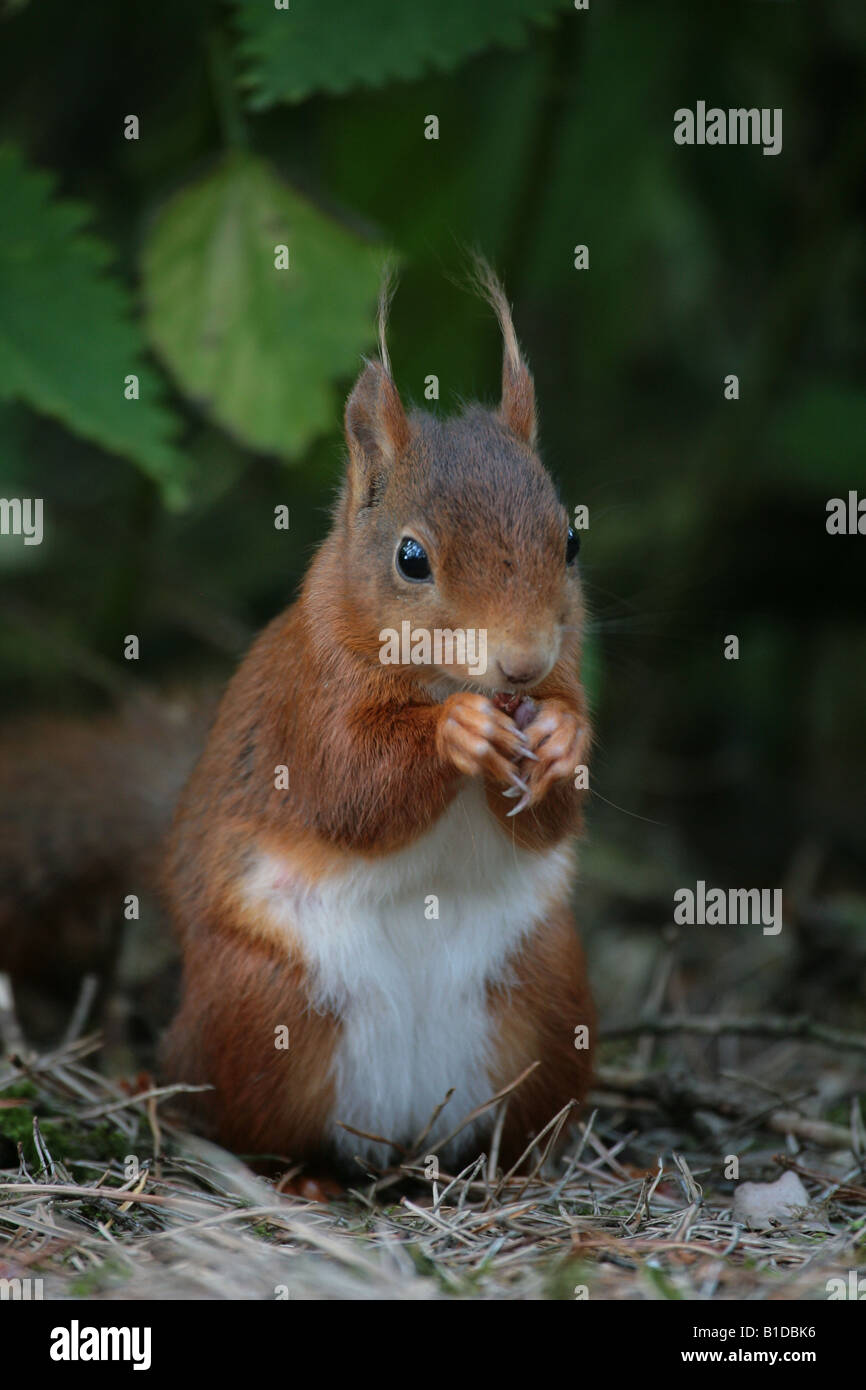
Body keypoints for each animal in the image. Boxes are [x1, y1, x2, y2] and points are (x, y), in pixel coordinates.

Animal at [161, 265, 595, 1172]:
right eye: (411, 558)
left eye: (571, 540)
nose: (523, 662)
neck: (437, 680)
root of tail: (404, 1127)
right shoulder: (307, 697)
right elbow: (347, 787)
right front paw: (457, 733)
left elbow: (551, 812)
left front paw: (561, 739)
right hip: (262, 1006)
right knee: (249, 1118)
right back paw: (299, 1179)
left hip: (548, 991)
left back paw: (517, 1160)